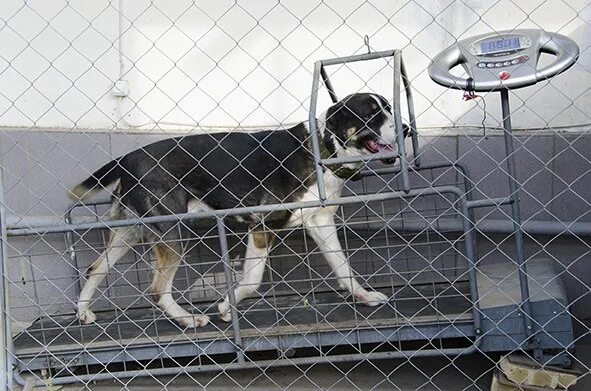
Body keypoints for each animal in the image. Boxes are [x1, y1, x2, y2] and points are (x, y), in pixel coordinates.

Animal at [69, 92, 402, 328]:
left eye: (388, 107)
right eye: (372, 114)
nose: (407, 128)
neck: (321, 150)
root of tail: (127, 158)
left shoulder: (320, 224)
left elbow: (344, 269)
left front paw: (364, 296)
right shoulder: (261, 227)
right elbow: (252, 281)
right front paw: (225, 306)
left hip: (130, 232)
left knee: (95, 269)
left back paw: (83, 312)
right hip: (173, 233)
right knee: (156, 289)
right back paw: (187, 319)